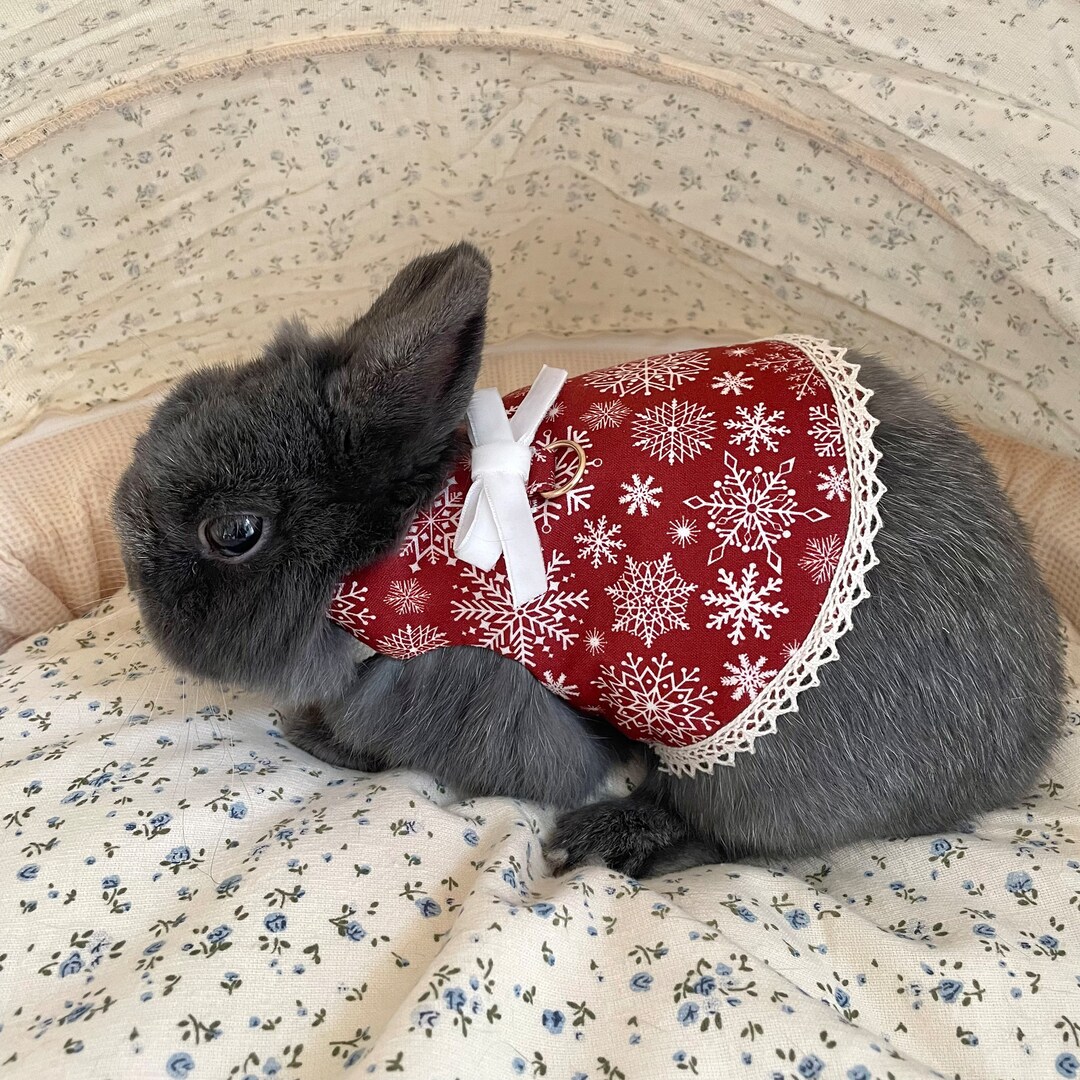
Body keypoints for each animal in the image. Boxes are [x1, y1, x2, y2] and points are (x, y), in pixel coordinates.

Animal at [114, 240, 1067, 876]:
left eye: (235, 532)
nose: (126, 543)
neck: (400, 532)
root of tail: (1024, 752)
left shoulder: (466, 677)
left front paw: (314, 735)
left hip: (753, 772)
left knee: (733, 836)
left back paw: (611, 840)